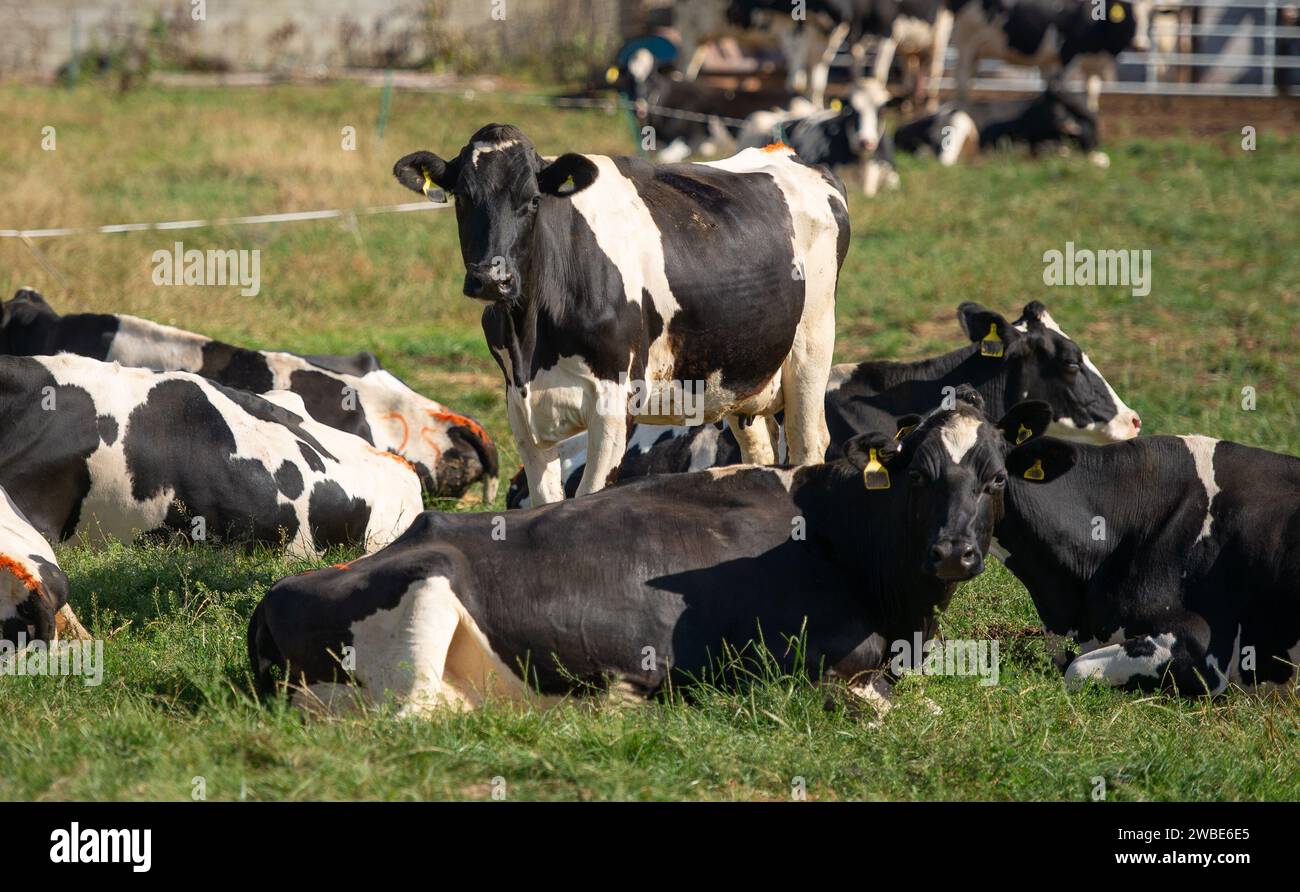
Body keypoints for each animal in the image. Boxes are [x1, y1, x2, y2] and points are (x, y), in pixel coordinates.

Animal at [248, 387, 1012, 716]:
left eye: (997, 479)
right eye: (919, 476)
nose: (953, 552)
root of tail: (275, 594)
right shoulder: (809, 656)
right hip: (424, 597)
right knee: (420, 710)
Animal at [393, 124, 849, 506]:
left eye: (534, 200)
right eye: (463, 198)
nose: (492, 278)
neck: (531, 338)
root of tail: (787, 153)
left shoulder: (613, 401)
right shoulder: (519, 405)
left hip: (811, 349)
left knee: (808, 442)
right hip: (741, 374)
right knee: (760, 452)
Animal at [949, 0, 1153, 112]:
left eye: (1149, 15)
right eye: (1129, 14)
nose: (1141, 45)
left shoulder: (1090, 62)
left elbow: (1091, 91)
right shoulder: (1068, 55)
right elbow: (1063, 88)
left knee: (969, 79)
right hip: (965, 42)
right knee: (962, 78)